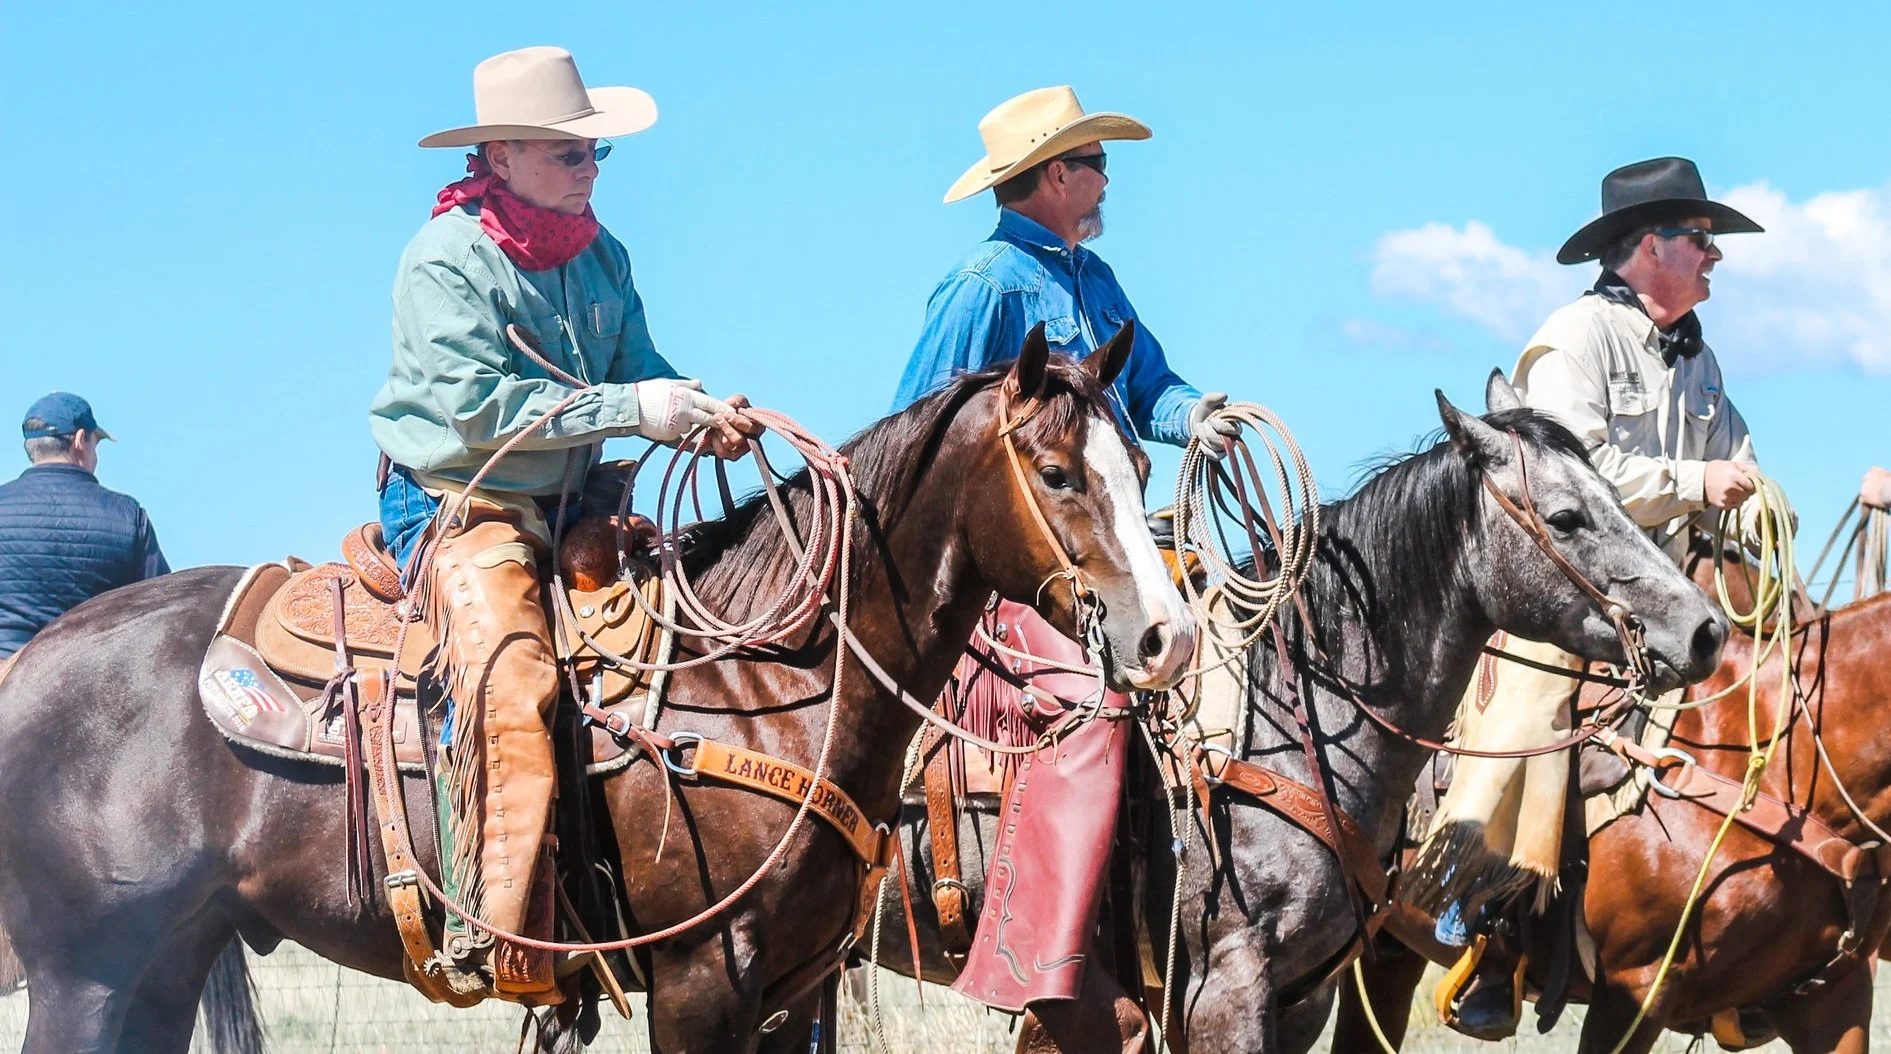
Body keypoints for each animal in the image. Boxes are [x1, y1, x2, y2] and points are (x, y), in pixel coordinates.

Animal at [0, 321, 1197, 1054]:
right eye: (1056, 473)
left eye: (1141, 467)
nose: (1167, 639)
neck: (768, 680)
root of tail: (33, 662)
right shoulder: (705, 978)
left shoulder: (795, 987)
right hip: (83, 976)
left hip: (160, 966)